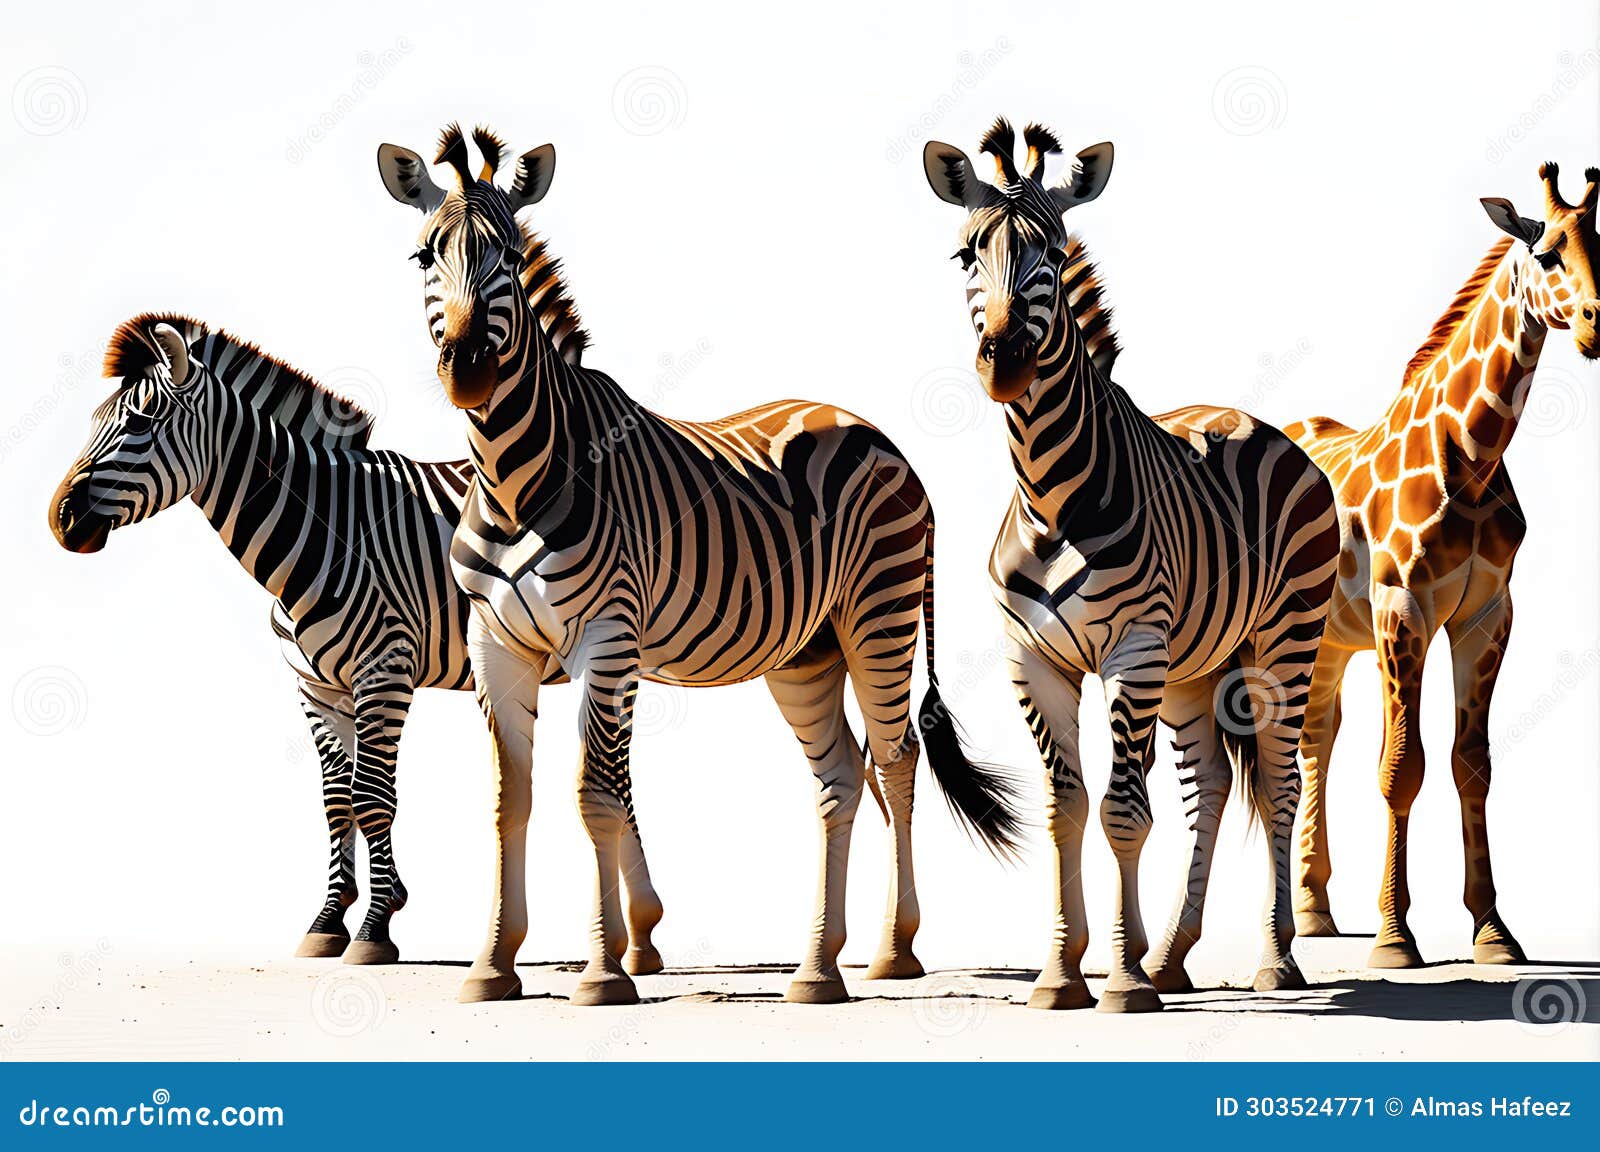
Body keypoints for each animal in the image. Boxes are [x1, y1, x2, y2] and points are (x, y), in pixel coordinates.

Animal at [46, 303, 668, 971]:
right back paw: (642, 939)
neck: (321, 527)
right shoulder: (317, 687)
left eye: (140, 423)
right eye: (94, 422)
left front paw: (374, 927)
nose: (59, 519)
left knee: (616, 772)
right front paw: (331, 919)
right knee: (617, 774)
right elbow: (335, 801)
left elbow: (372, 796)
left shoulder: (385, 671)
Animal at [377, 123, 1023, 1006]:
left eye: (508, 253)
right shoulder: (495, 647)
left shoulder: (606, 641)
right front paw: (492, 965)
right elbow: (513, 802)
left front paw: (602, 972)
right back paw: (817, 969)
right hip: (807, 652)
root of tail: (871, 429)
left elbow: (594, 798)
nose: (468, 367)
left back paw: (892, 952)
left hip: (879, 621)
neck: (513, 480)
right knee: (839, 779)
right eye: (423, 256)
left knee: (896, 763)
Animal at [922, 119, 1341, 1011]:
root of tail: (1253, 420)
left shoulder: (1132, 651)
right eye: (968, 253)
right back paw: (1176, 955)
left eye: (1053, 251)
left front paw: (1118, 979)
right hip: (1194, 666)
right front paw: (1062, 974)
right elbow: (1067, 809)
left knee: (1280, 784)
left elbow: (1123, 811)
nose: (1003, 360)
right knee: (1209, 788)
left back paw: (1275, 958)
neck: (1052, 495)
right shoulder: (1034, 659)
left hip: (1281, 642)